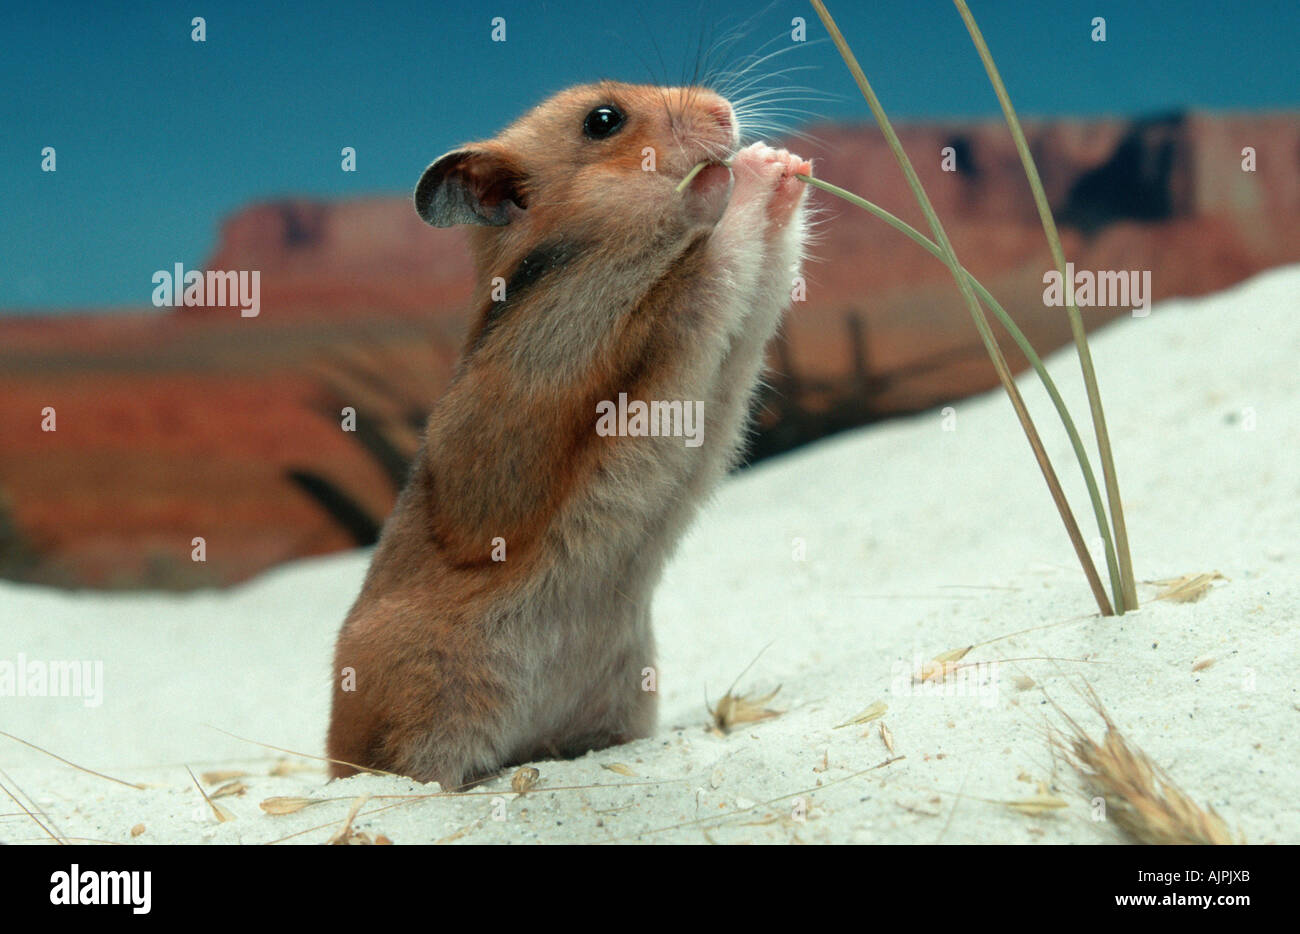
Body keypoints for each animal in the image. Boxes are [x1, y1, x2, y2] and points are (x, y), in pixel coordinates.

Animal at [327, 80, 811, 790]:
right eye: (603, 121)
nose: (725, 111)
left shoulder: (729, 349)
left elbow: (756, 270)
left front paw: (785, 161)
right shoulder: (614, 336)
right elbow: (712, 257)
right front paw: (742, 170)